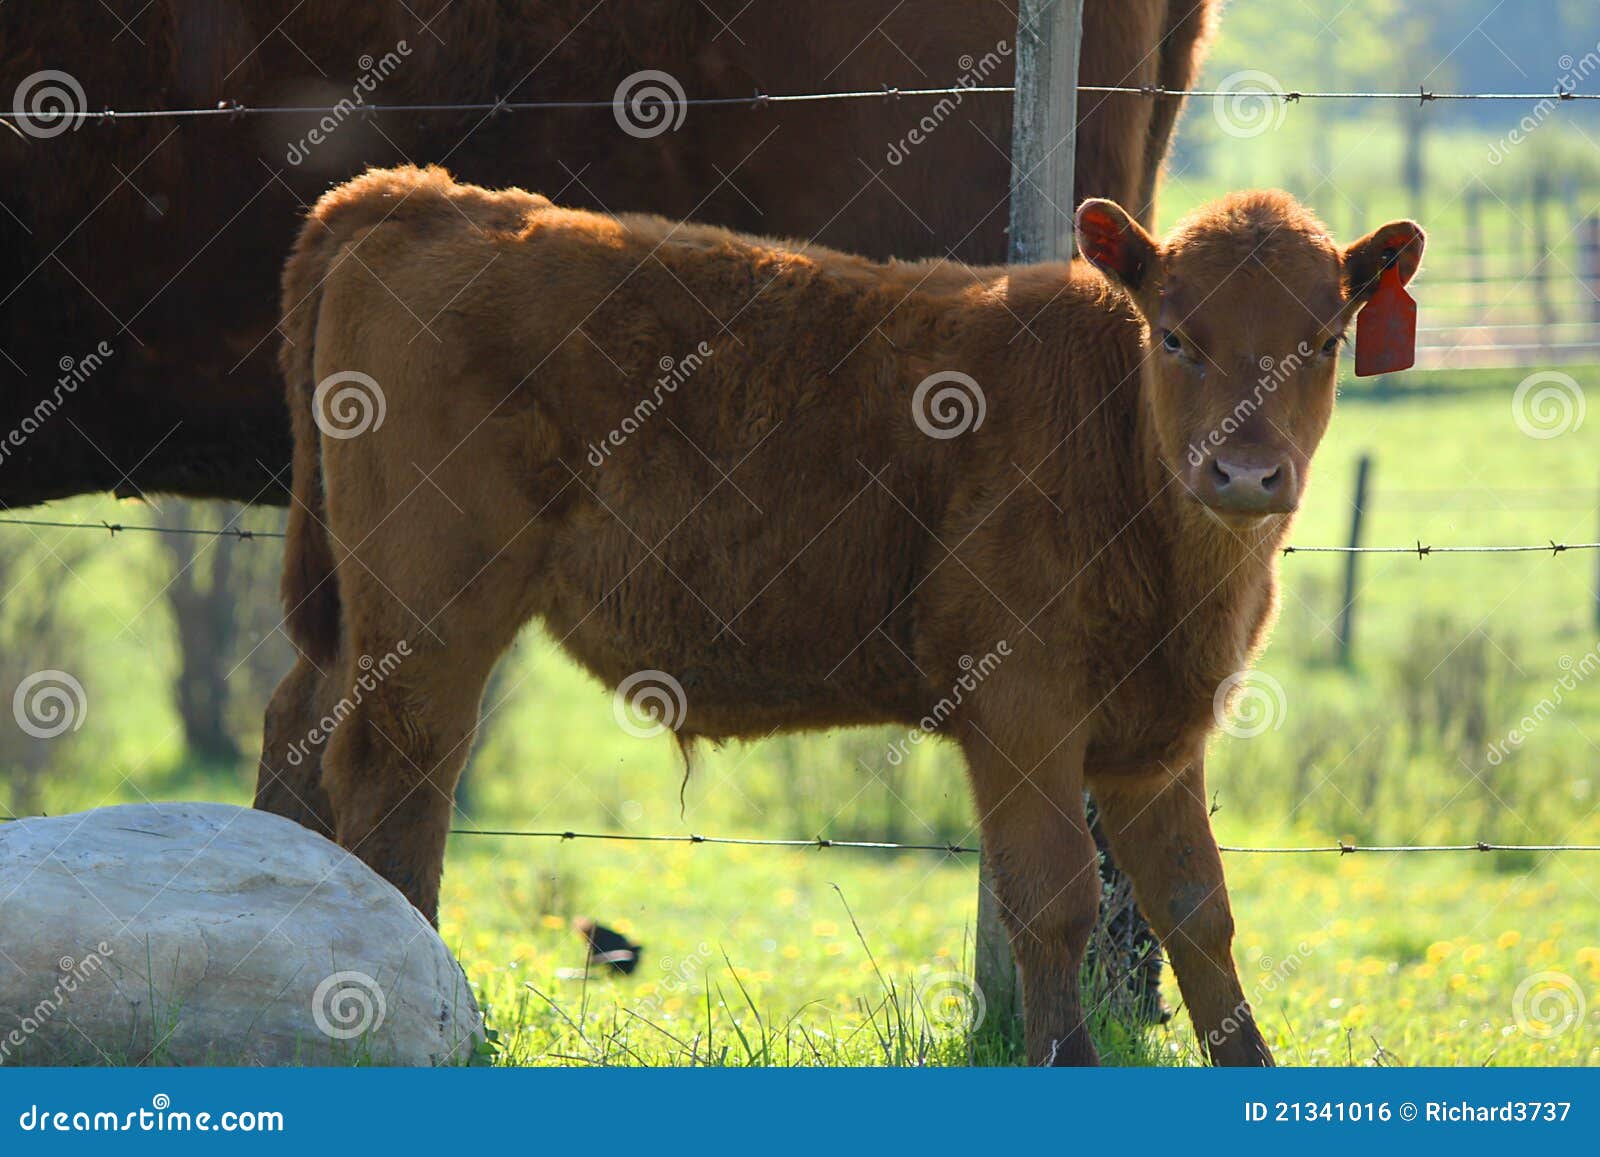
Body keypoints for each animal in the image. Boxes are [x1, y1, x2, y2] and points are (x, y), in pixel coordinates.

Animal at [255, 164, 1425, 1066]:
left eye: (1325, 340)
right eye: (1176, 336)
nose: (1246, 473)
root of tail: (420, 194)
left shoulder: (1157, 736)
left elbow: (1198, 908)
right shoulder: (1022, 704)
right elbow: (1054, 895)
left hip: (363, 616)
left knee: (302, 734)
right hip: (432, 609)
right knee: (399, 777)